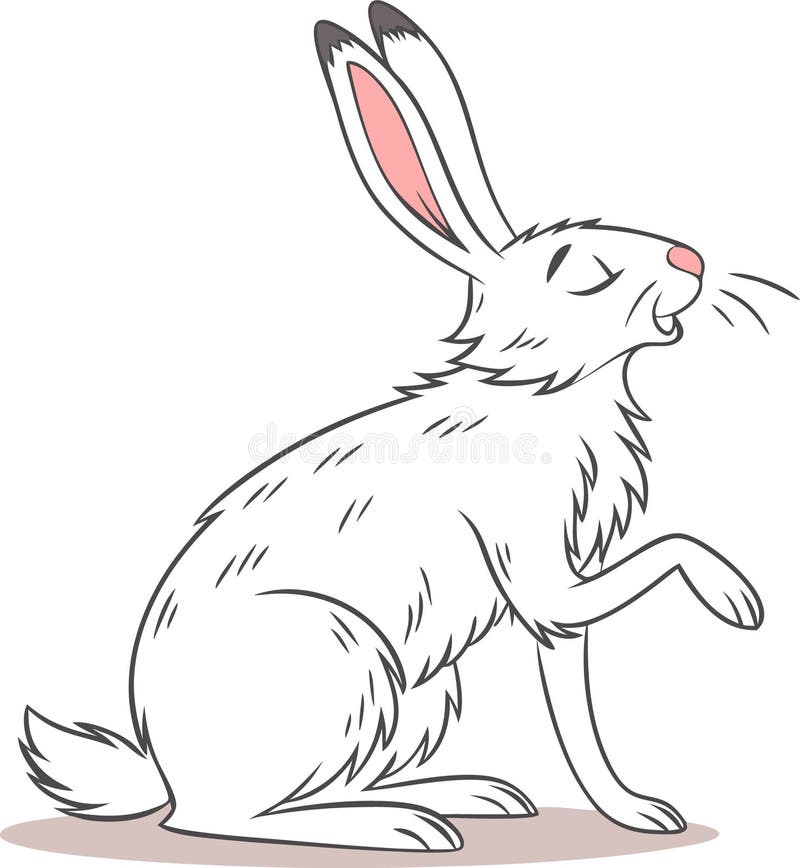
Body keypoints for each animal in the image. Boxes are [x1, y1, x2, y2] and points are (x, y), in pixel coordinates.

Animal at [22, 2, 771, 853]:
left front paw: (640, 811)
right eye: (581, 272)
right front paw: (739, 599)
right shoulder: (537, 566)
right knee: (226, 819)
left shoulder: (566, 602)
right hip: (341, 654)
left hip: (420, 690)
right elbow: (656, 556)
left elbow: (578, 714)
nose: (691, 260)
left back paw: (467, 796)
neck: (540, 392)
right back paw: (404, 827)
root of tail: (165, 765)